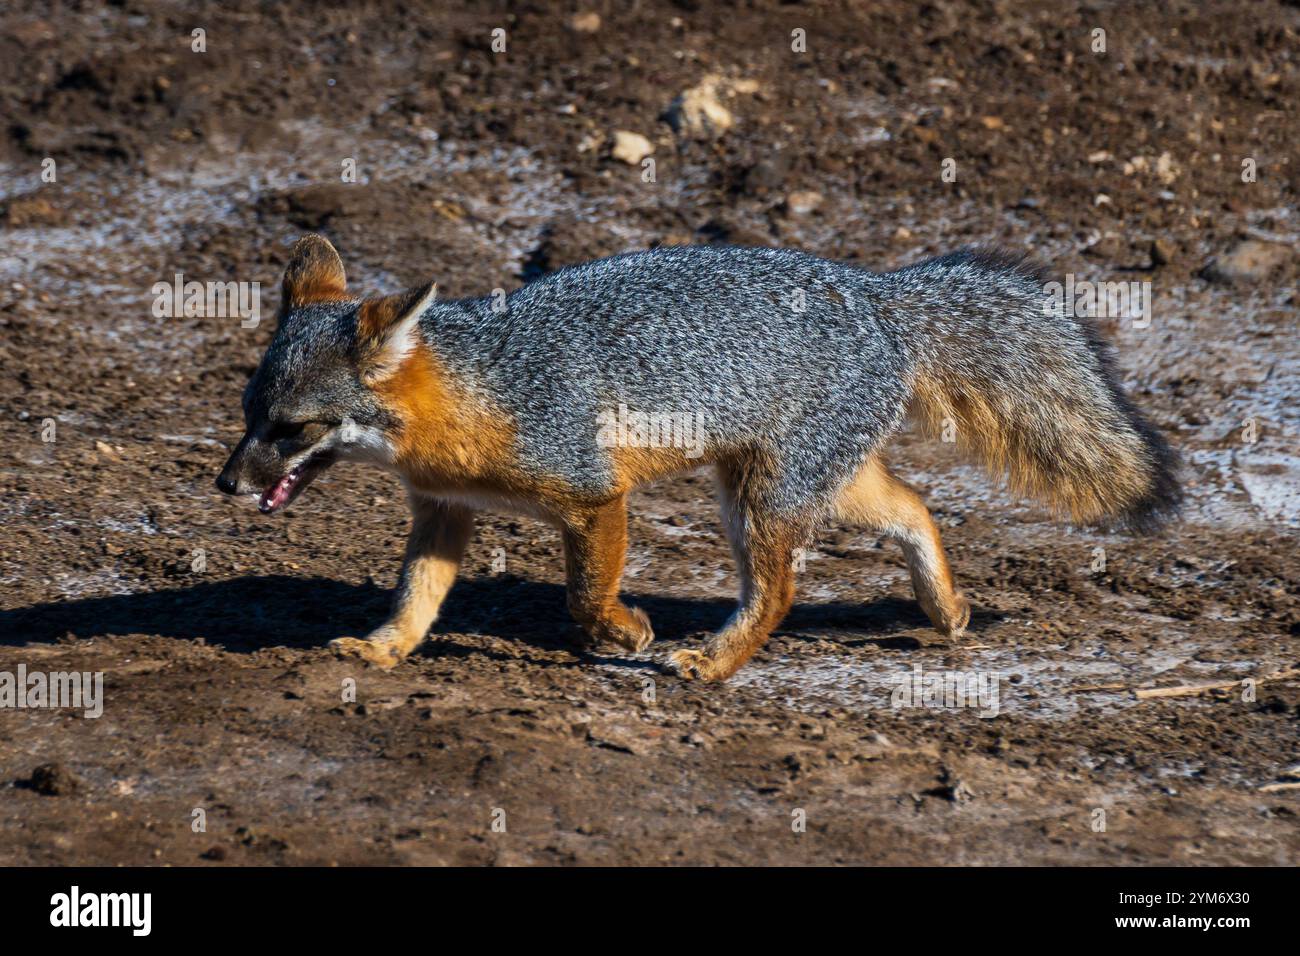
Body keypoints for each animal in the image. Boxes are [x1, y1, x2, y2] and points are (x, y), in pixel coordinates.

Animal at [216, 234, 1180, 681]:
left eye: (290, 429)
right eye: (247, 414)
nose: (225, 482)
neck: (478, 388)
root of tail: (877, 290)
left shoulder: (593, 495)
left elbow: (582, 594)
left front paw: (624, 632)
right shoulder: (443, 510)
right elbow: (415, 598)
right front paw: (382, 651)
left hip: (761, 502)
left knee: (781, 594)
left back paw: (712, 663)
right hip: (802, 484)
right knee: (915, 507)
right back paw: (944, 610)